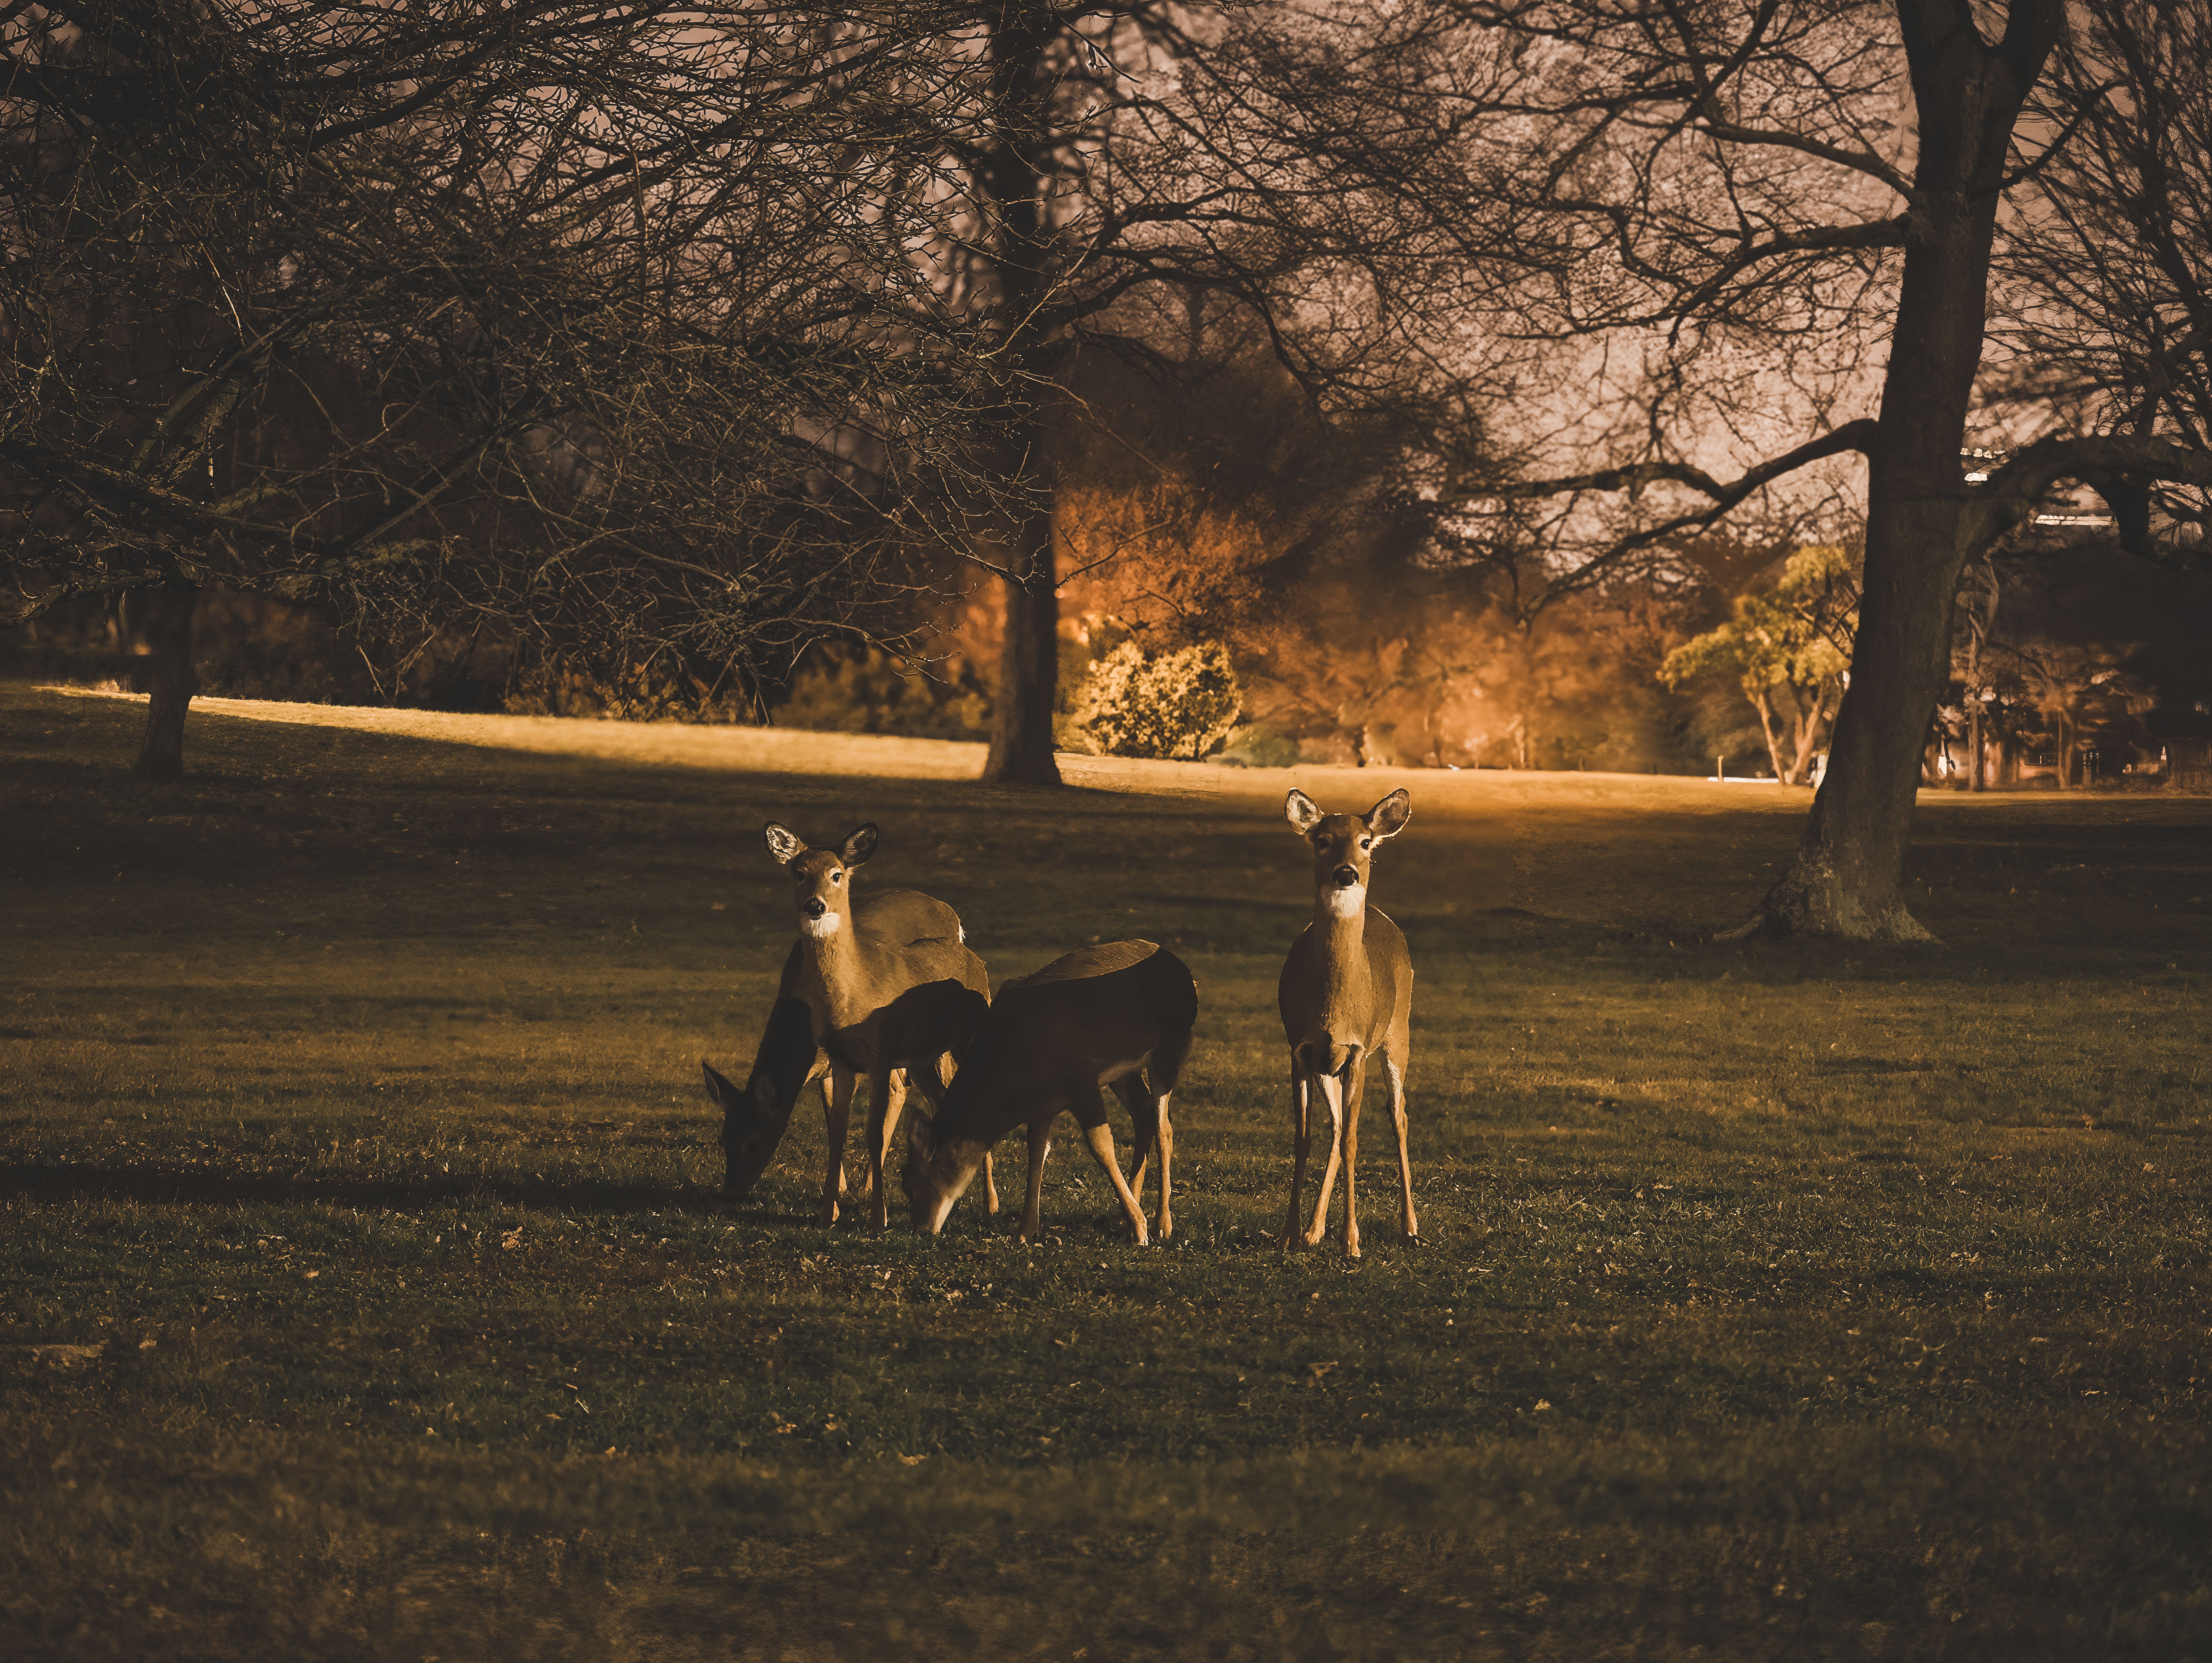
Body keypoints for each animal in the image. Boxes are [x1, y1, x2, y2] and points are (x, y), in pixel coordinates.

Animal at [759, 820, 993, 1228]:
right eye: (799, 873)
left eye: (837, 874)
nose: (815, 905)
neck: (856, 992)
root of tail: (973, 955)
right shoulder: (841, 1059)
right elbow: (837, 1130)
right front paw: (827, 1214)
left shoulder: (882, 1054)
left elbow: (872, 1132)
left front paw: (878, 1217)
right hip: (925, 1057)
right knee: (944, 1101)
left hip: (969, 1039)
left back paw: (991, 1205)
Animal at [903, 941, 1196, 1245]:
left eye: (908, 1184)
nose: (921, 1230)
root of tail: (1180, 966)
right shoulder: (1042, 1105)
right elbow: (1037, 1151)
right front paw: (1025, 1231)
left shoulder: (1082, 1081)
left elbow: (1101, 1147)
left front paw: (1140, 1229)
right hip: (1125, 1073)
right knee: (1144, 1115)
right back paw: (1126, 1216)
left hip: (1173, 1048)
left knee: (1164, 1128)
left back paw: (1162, 1224)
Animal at [1277, 788, 1417, 1260]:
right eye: (1321, 840)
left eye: (1366, 842)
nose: (1347, 873)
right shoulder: (1300, 1050)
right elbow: (1304, 1138)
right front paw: (1289, 1234)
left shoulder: (1357, 1050)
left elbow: (1355, 1140)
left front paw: (1352, 1241)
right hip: (1329, 1065)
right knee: (1336, 1126)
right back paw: (1314, 1230)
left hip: (1397, 1033)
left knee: (1398, 1116)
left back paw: (1410, 1227)